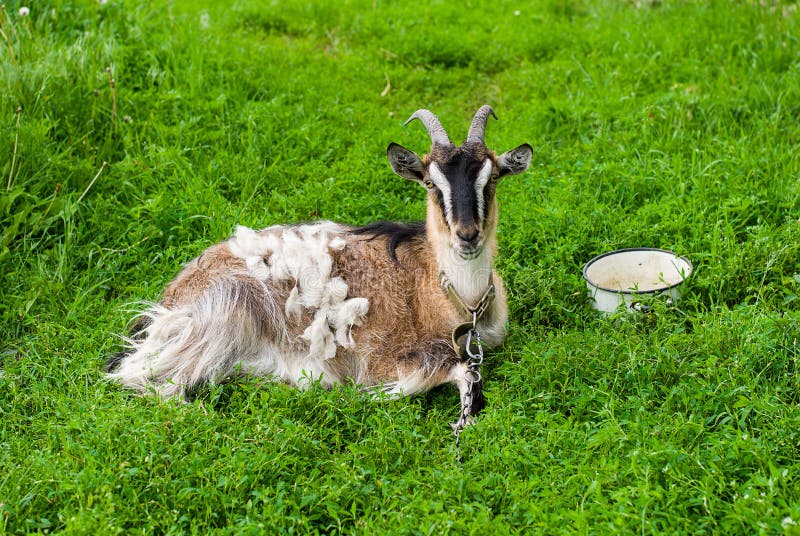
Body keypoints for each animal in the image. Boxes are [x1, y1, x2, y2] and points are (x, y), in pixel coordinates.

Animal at [107, 105, 532, 422]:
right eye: (430, 182)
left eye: (493, 178)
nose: (467, 235)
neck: (455, 296)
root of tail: (172, 297)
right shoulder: (386, 355)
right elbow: (457, 370)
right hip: (226, 307)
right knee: (147, 381)